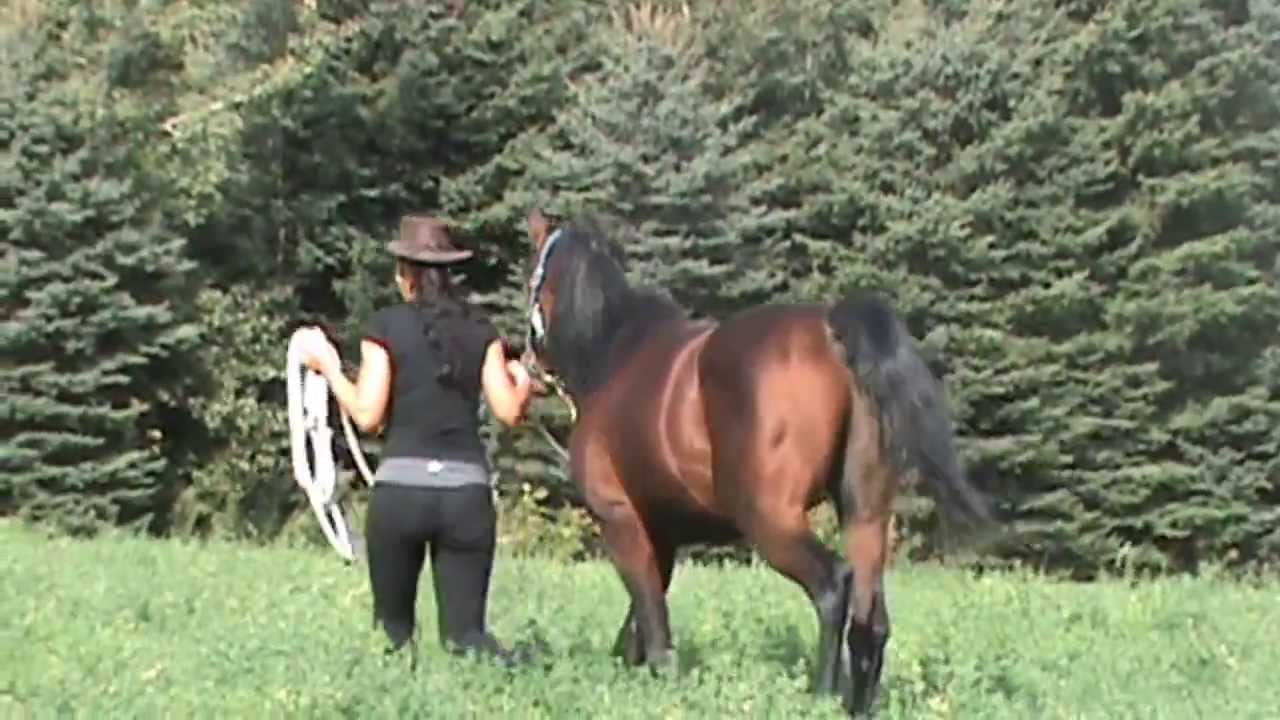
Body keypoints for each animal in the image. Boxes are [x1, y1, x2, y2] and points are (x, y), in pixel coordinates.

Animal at [518, 209, 994, 716]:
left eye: (534, 276)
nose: (528, 364)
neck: (614, 354)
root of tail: (831, 330)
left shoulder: (620, 520)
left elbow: (652, 618)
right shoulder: (660, 531)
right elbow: (640, 621)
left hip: (770, 519)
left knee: (832, 586)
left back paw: (822, 693)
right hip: (865, 513)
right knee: (871, 620)